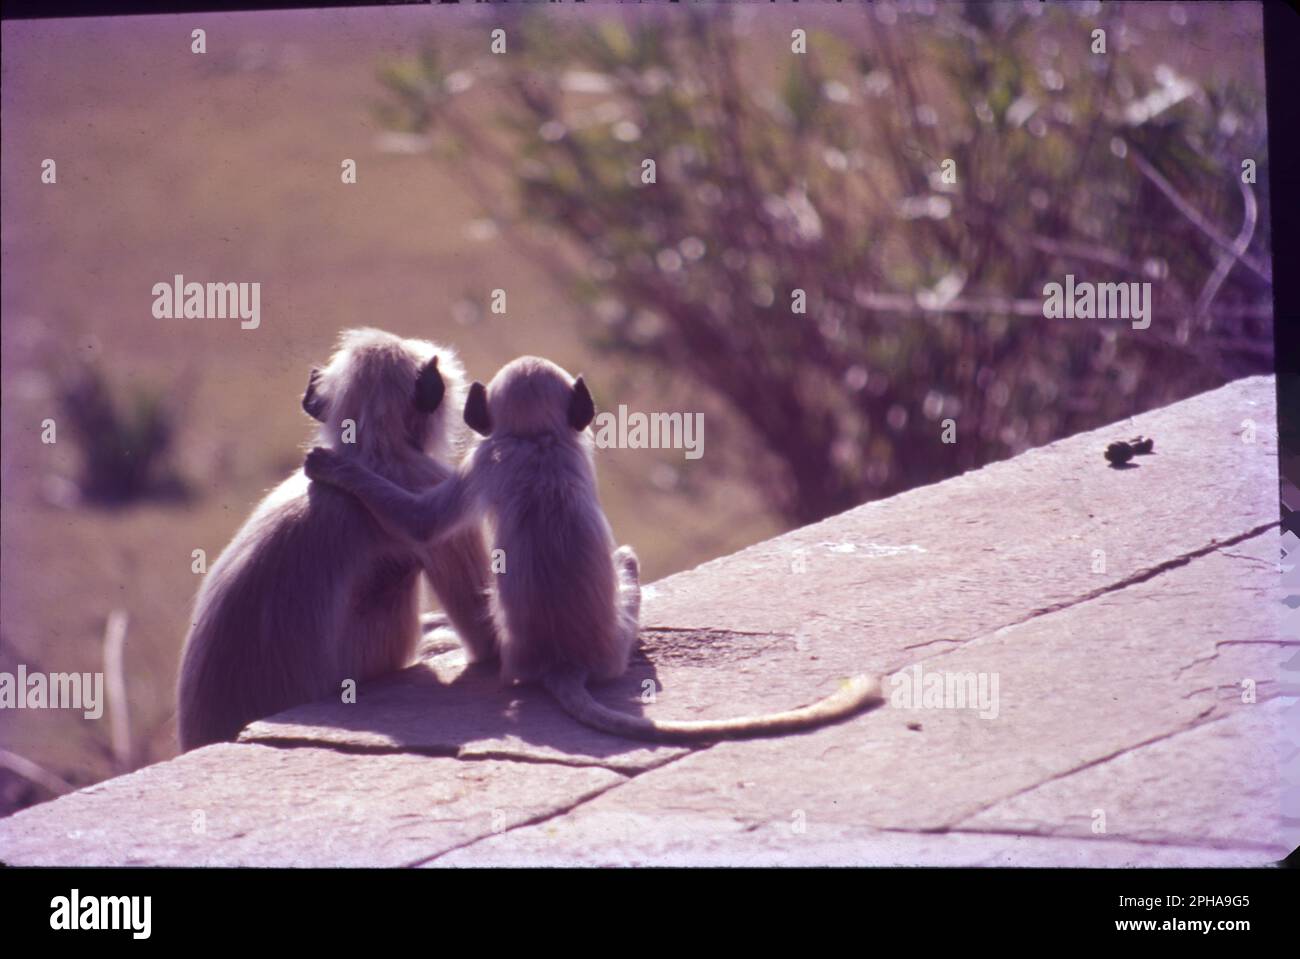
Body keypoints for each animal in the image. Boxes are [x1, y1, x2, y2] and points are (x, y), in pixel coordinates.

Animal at [303, 356, 882, 744]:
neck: (538, 438)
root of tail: (566, 660)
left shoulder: (489, 455)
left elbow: (426, 524)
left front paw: (338, 469)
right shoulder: (501, 455)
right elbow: (426, 524)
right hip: (611, 644)